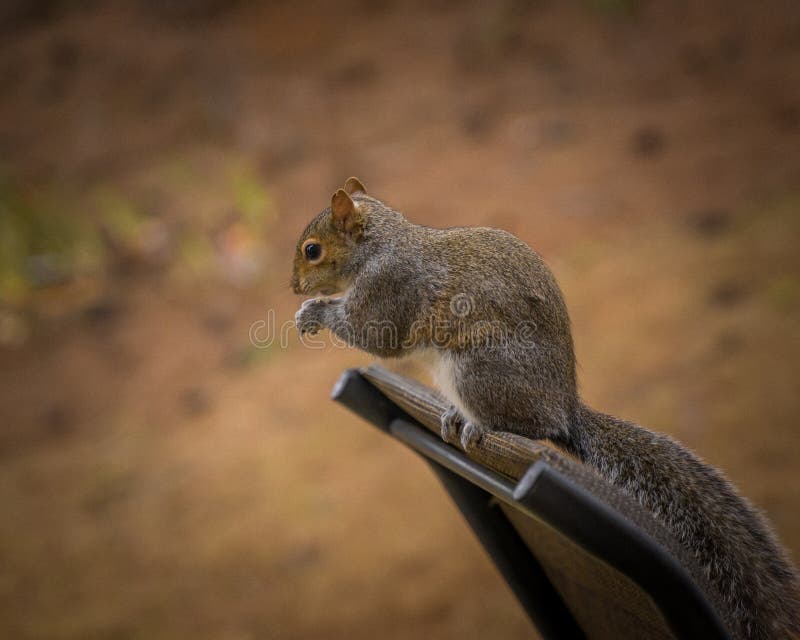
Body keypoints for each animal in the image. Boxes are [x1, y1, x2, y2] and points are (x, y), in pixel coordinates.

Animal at [291, 177, 800, 640]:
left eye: (312, 250)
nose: (293, 286)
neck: (379, 246)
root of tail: (565, 407)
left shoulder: (392, 288)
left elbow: (378, 337)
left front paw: (316, 311)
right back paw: (456, 416)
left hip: (481, 369)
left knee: (531, 424)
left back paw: (479, 424)